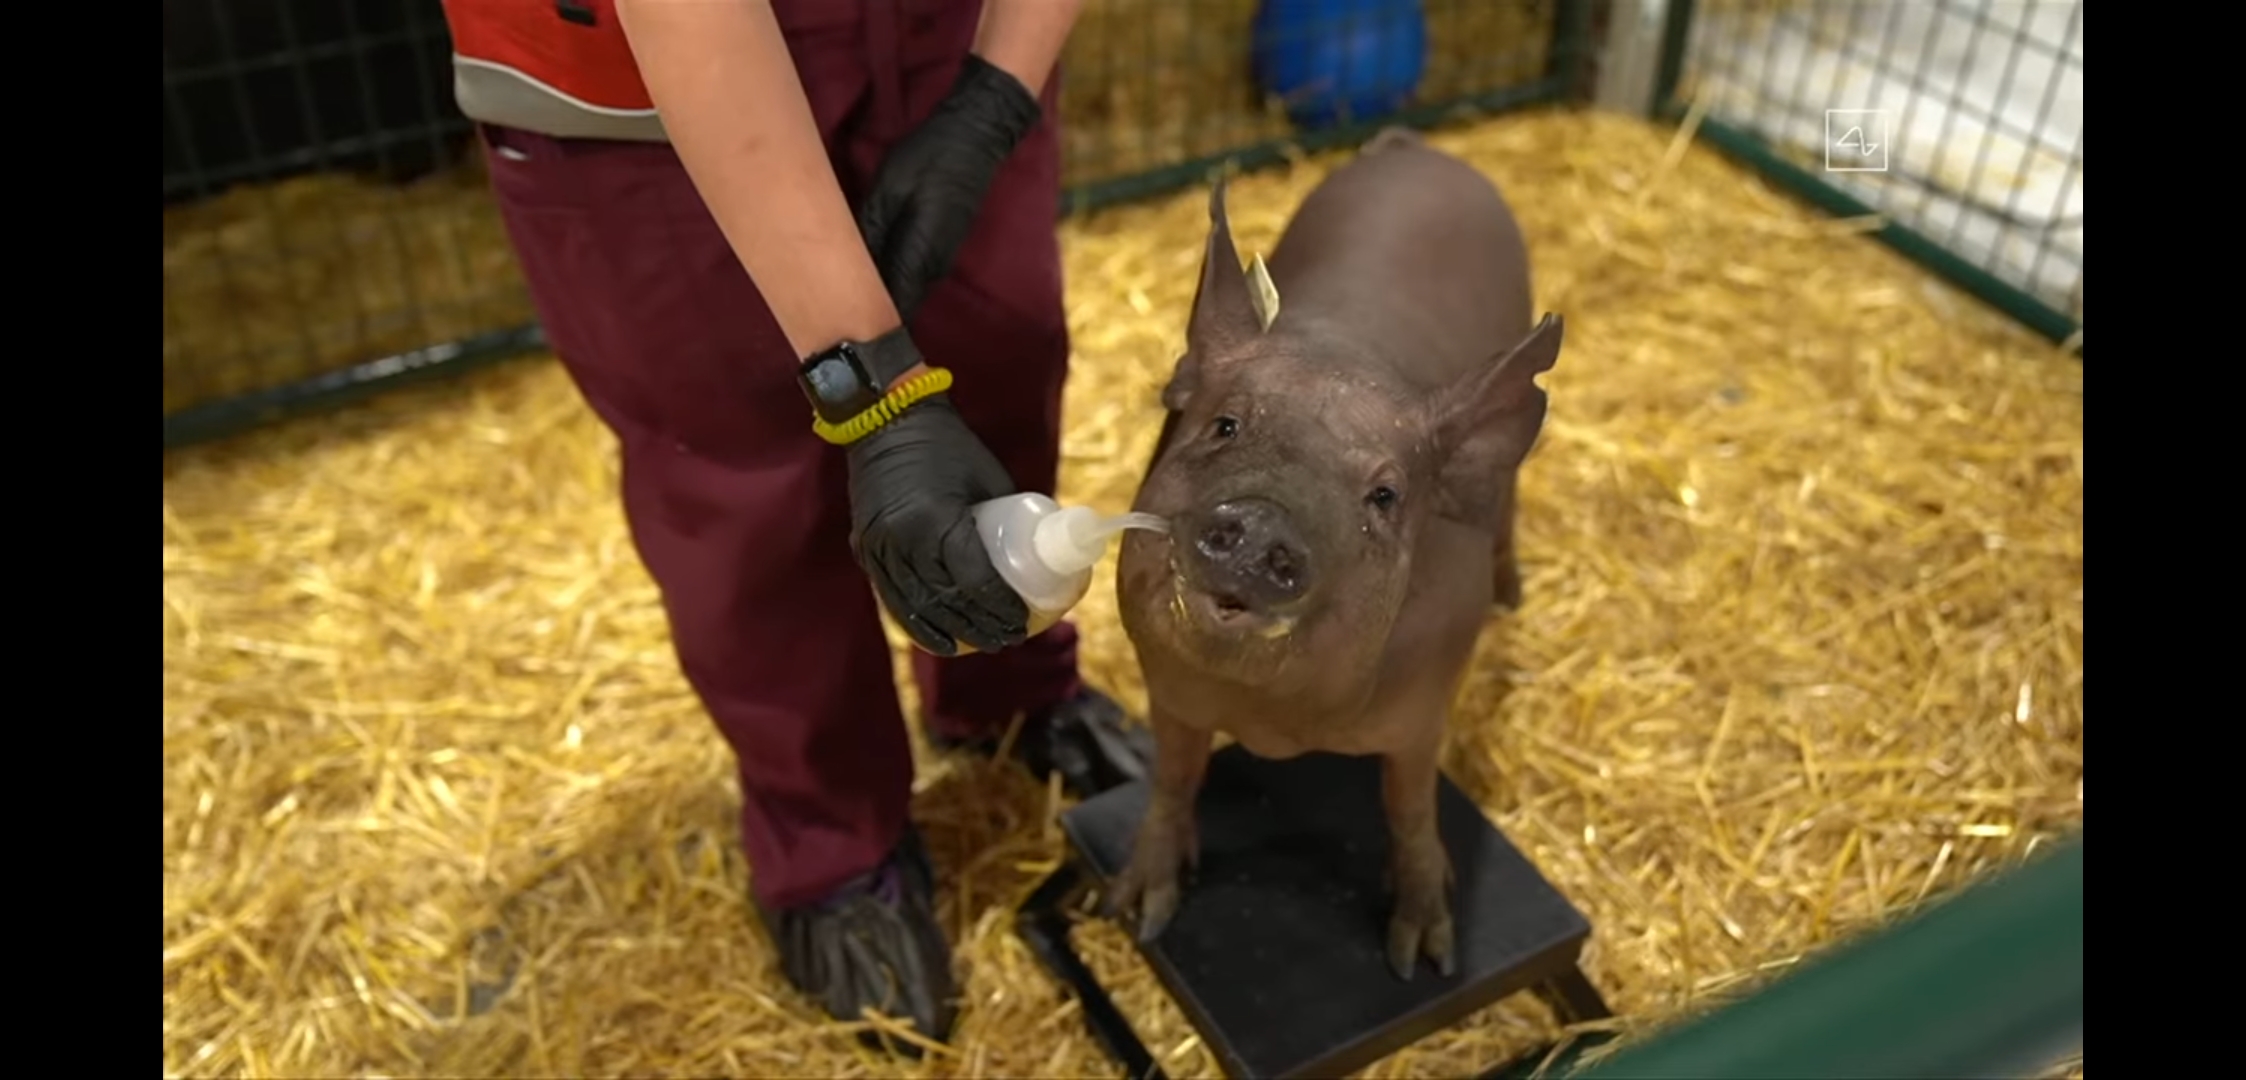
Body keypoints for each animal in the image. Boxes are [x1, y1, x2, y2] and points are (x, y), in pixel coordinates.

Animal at [1106, 126, 1564, 981]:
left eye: (1383, 496)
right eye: (1224, 425)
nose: (1262, 524)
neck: (1278, 723)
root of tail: (1418, 151)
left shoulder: (1423, 714)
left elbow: (1409, 807)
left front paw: (1423, 958)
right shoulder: (1172, 691)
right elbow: (1173, 779)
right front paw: (1140, 912)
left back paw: (1513, 594)